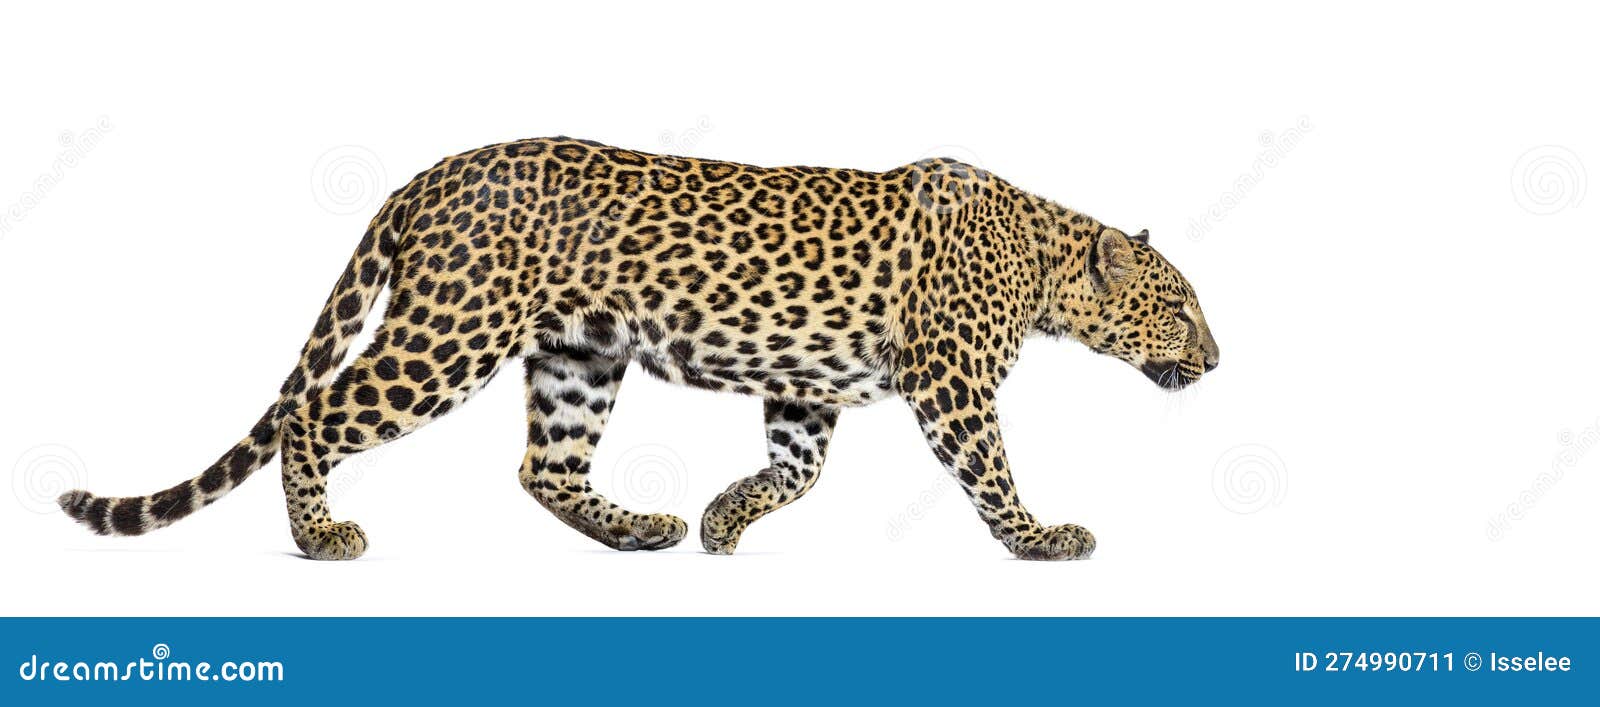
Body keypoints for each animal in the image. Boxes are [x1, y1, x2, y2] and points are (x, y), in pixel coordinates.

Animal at [58, 136, 1220, 561]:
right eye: (1180, 310)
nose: (1214, 362)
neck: (1042, 261)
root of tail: (428, 174)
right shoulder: (951, 381)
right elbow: (991, 471)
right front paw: (1041, 538)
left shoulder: (808, 388)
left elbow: (797, 470)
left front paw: (723, 519)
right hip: (449, 333)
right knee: (312, 410)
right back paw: (321, 536)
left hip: (579, 355)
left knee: (545, 466)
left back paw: (640, 528)